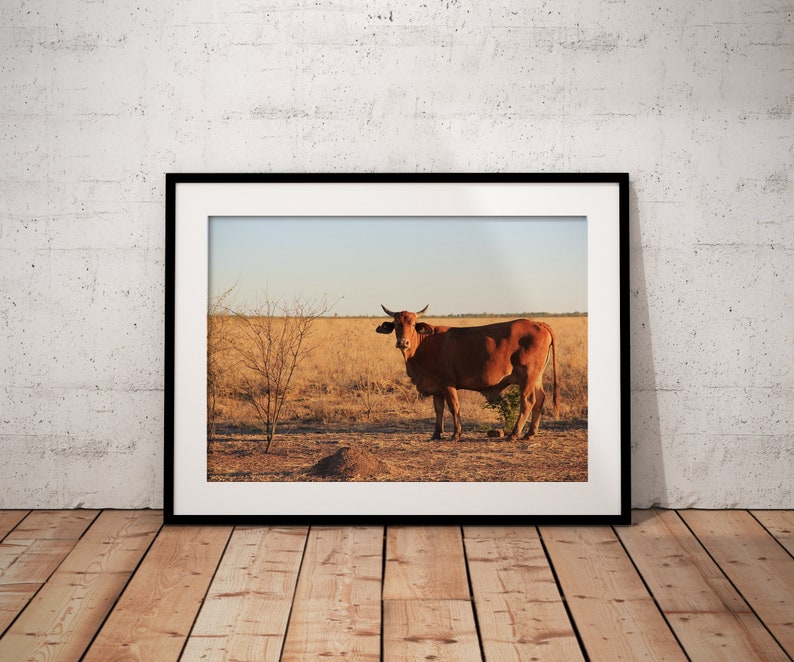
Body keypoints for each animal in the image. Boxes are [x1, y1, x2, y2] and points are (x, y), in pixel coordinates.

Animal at [376, 305, 558, 441]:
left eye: (413, 324)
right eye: (396, 324)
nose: (403, 342)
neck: (424, 344)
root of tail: (539, 324)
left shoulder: (447, 383)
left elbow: (453, 406)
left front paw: (456, 434)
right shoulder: (437, 388)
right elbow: (438, 409)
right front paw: (436, 434)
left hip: (527, 377)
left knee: (528, 401)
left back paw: (514, 434)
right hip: (536, 378)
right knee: (540, 399)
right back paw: (530, 433)